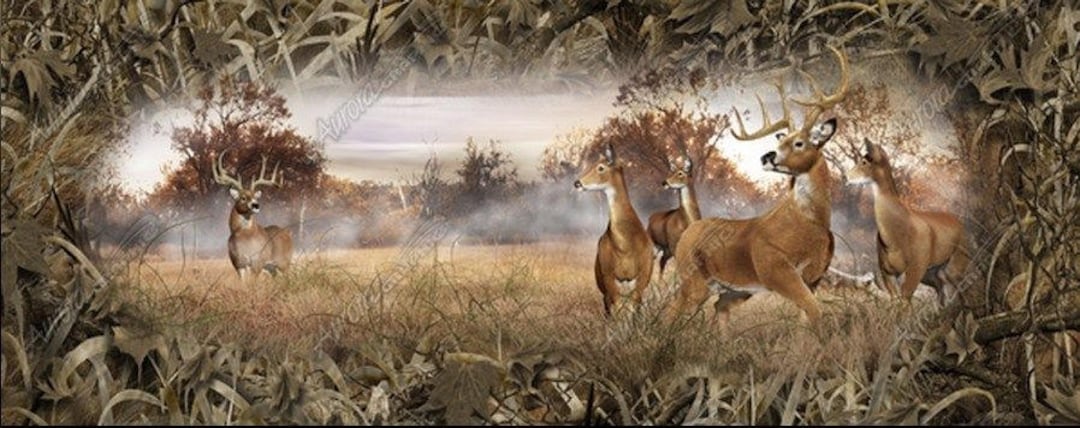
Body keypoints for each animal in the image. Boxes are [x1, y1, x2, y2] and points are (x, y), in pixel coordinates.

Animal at [212, 151, 294, 284]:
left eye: (255, 197)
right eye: (243, 197)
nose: (256, 205)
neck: (244, 238)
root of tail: (288, 233)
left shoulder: (257, 261)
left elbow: (253, 284)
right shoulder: (238, 264)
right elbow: (243, 284)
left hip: (284, 262)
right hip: (272, 267)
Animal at [574, 143, 655, 316]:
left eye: (601, 167)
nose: (577, 183)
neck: (624, 243)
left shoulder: (642, 275)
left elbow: (632, 309)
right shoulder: (608, 275)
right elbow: (617, 310)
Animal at [668, 45, 850, 324]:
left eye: (799, 143)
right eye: (781, 140)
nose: (767, 156)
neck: (811, 222)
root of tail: (688, 231)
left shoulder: (814, 277)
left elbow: (807, 318)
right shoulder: (774, 268)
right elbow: (815, 312)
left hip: (733, 289)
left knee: (719, 308)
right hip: (693, 279)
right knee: (672, 311)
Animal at [846, 139, 969, 306]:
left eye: (864, 161)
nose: (847, 176)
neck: (894, 236)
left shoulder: (916, 266)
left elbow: (905, 300)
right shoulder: (887, 270)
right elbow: (897, 301)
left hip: (955, 265)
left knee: (958, 292)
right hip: (933, 273)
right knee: (942, 294)